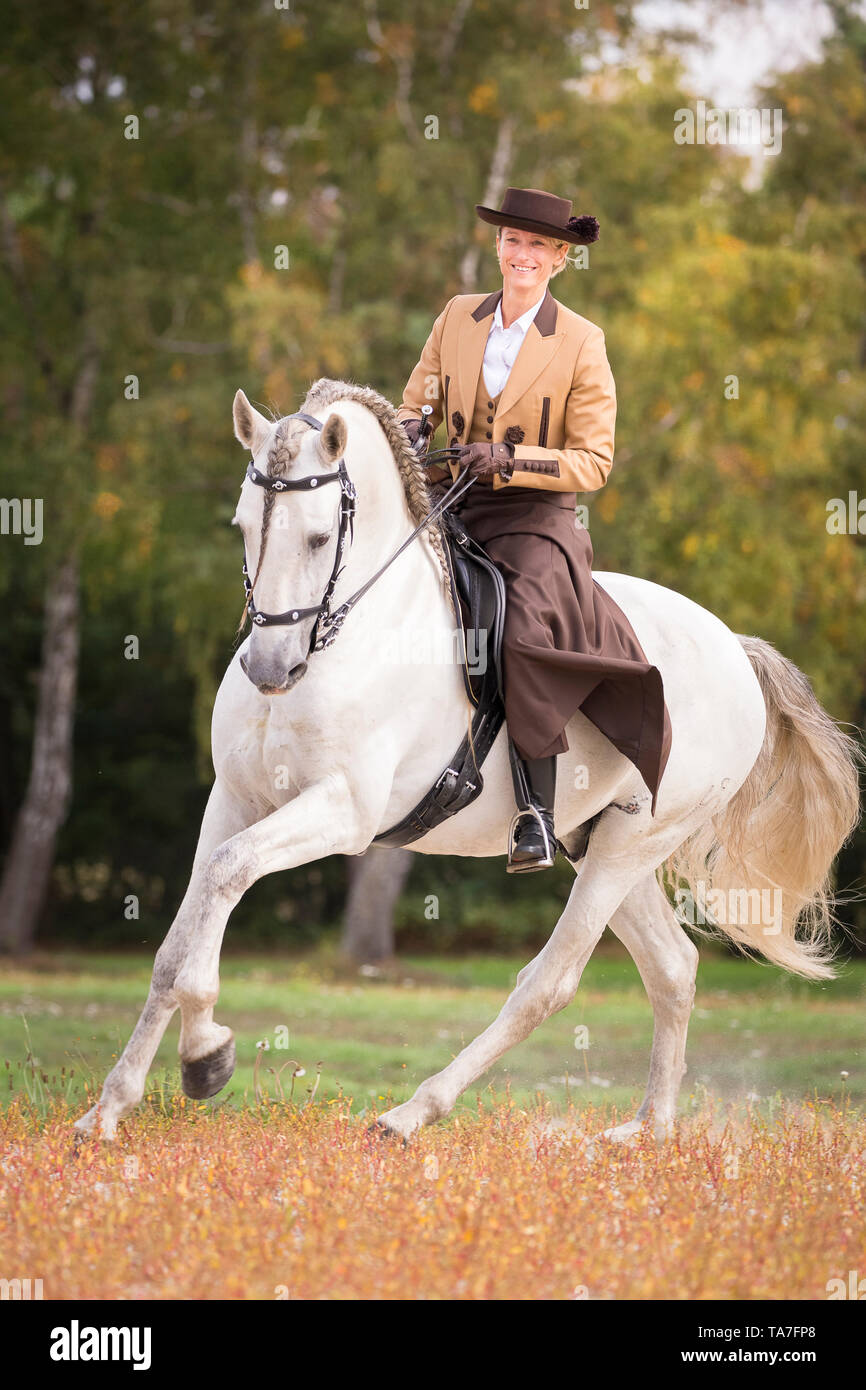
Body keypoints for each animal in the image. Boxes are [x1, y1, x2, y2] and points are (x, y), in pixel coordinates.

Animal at [74, 379, 861, 1143]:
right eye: (242, 525)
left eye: (320, 537)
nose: (271, 670)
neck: (348, 632)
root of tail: (733, 645)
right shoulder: (235, 800)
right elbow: (185, 931)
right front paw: (114, 1105)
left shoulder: (342, 811)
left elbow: (229, 874)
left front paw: (202, 1055)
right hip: (603, 839)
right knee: (673, 967)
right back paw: (649, 1131)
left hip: (632, 844)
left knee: (550, 982)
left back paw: (411, 1113)